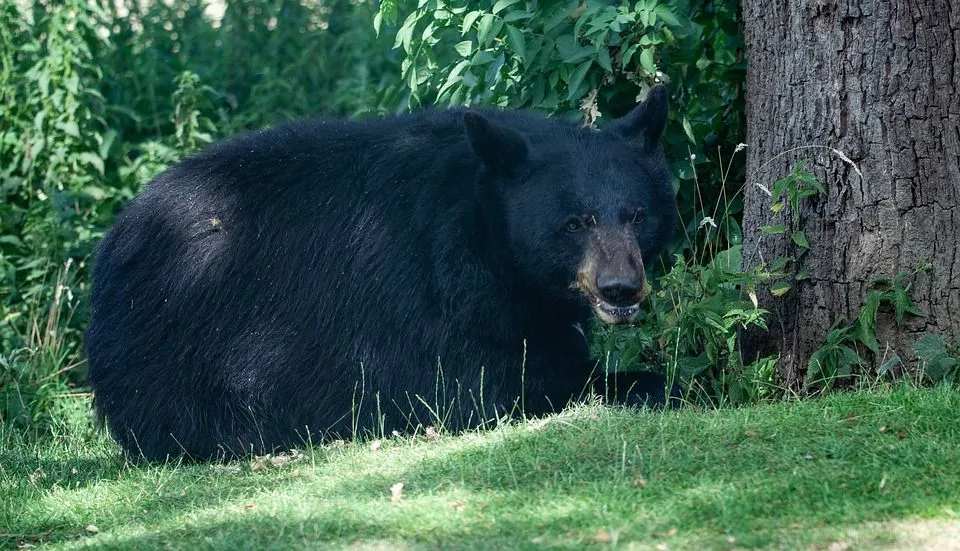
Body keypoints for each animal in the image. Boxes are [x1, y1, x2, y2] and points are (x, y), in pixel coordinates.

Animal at [88, 85, 676, 462]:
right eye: (574, 222)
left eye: (636, 215)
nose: (621, 288)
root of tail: (114, 242)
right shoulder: (429, 290)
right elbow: (488, 385)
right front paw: (649, 383)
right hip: (185, 339)